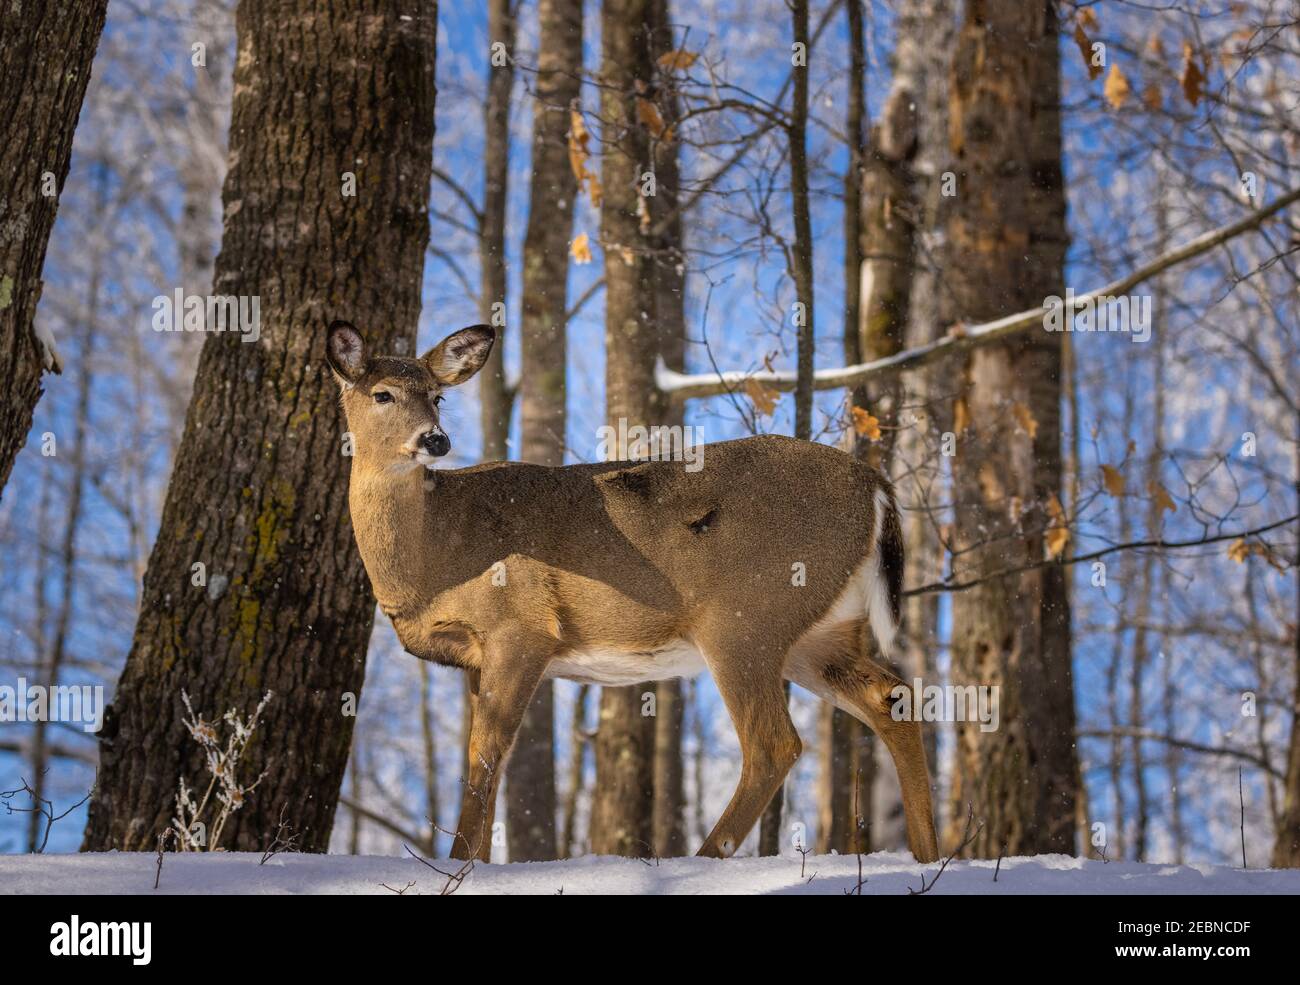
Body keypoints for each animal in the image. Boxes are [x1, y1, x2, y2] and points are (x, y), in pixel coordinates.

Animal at [325, 319, 940, 864]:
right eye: (382, 393)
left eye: (437, 396)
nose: (436, 438)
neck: (433, 557)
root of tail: (877, 487)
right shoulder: (476, 657)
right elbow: (486, 758)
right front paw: (473, 861)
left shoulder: (521, 627)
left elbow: (485, 754)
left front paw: (458, 867)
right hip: (819, 633)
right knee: (892, 700)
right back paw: (929, 856)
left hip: (746, 616)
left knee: (774, 744)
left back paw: (701, 861)